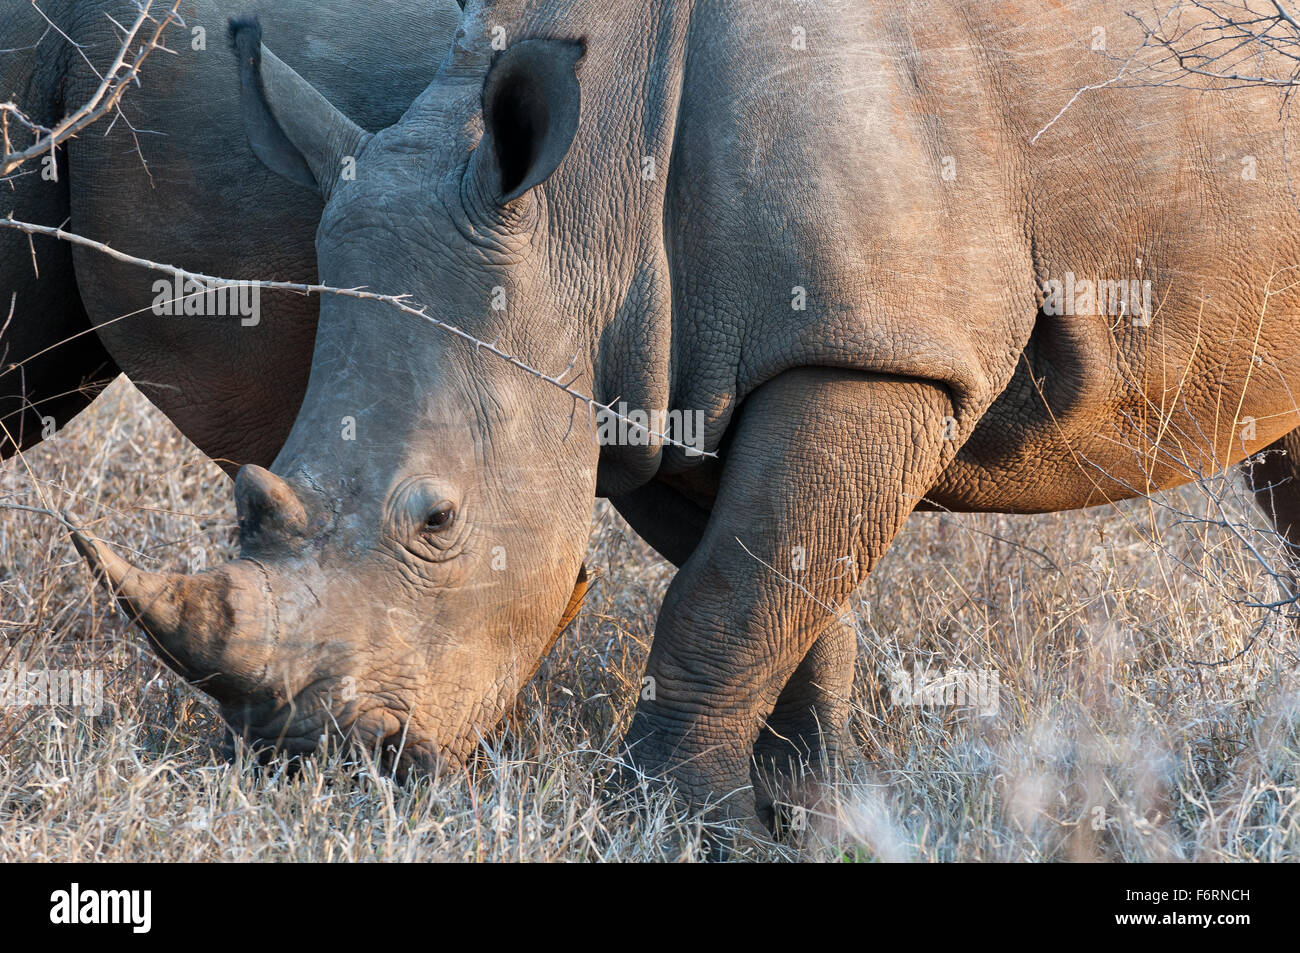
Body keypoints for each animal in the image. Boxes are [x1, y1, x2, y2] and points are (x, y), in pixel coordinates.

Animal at [68, 0, 1300, 827]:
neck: (583, 194)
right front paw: (804, 814)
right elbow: (778, 589)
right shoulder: (651, 382)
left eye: (437, 522)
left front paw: (668, 820)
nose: (328, 763)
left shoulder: (875, 354)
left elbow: (728, 594)